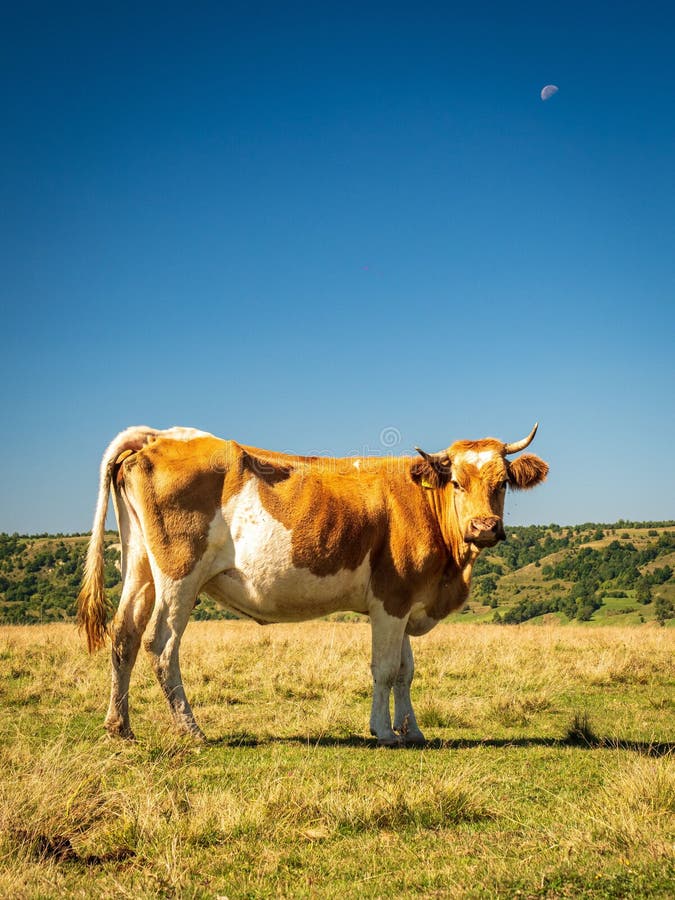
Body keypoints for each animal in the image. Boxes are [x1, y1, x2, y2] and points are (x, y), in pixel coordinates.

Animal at [77, 424, 548, 745]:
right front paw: (384, 731)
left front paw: (411, 730)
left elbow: (406, 671)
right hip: (179, 575)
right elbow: (384, 668)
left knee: (125, 636)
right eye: (457, 482)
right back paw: (190, 728)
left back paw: (119, 726)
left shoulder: (407, 598)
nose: (484, 527)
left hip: (141, 567)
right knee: (161, 644)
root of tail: (164, 435)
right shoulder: (390, 600)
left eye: (502, 483)